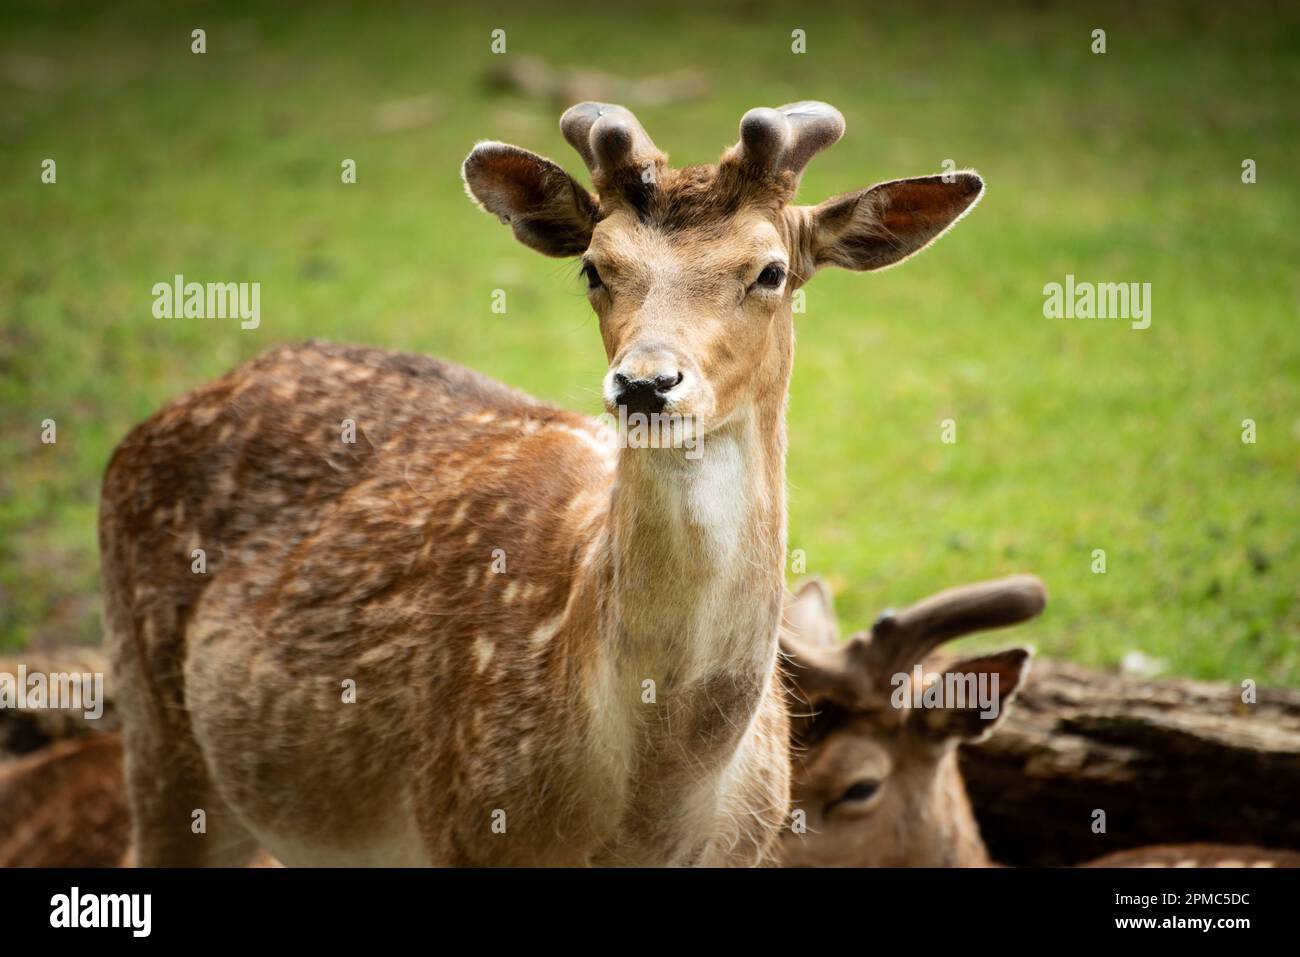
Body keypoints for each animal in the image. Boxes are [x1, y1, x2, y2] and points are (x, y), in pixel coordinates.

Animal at [98, 100, 986, 867]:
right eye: (595, 266)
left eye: (769, 271)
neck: (650, 809)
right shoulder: (460, 830)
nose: (645, 383)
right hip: (156, 730)